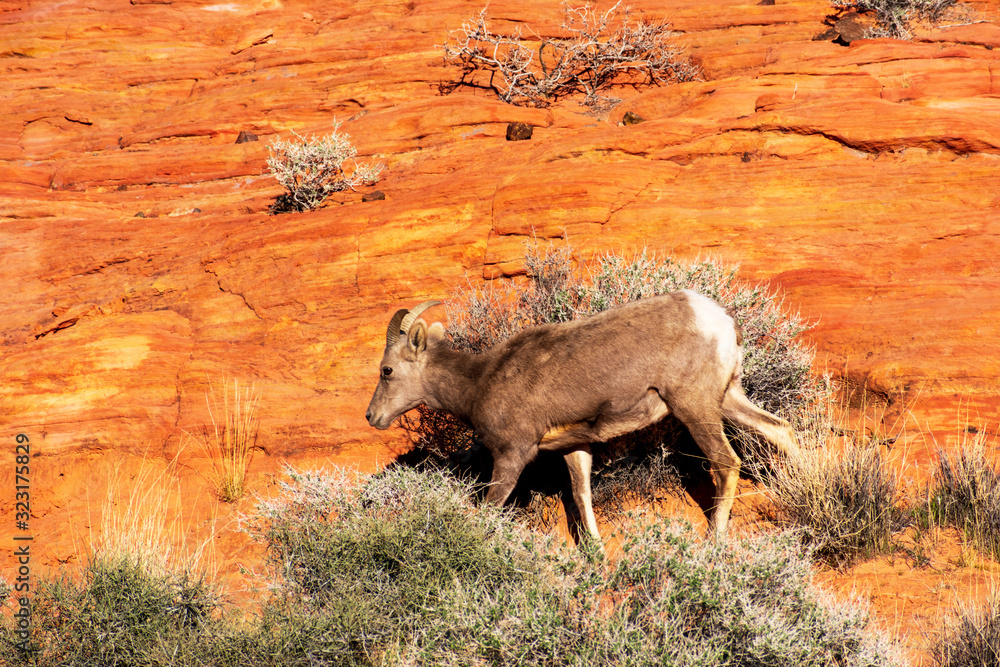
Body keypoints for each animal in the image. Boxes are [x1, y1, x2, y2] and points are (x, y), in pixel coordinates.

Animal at [366, 294, 798, 545]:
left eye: (387, 370)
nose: (372, 416)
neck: (481, 381)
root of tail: (719, 319)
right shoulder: (575, 446)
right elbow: (582, 497)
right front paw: (595, 558)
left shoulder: (512, 455)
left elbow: (489, 508)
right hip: (728, 397)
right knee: (782, 431)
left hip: (694, 405)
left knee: (726, 463)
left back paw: (712, 544)